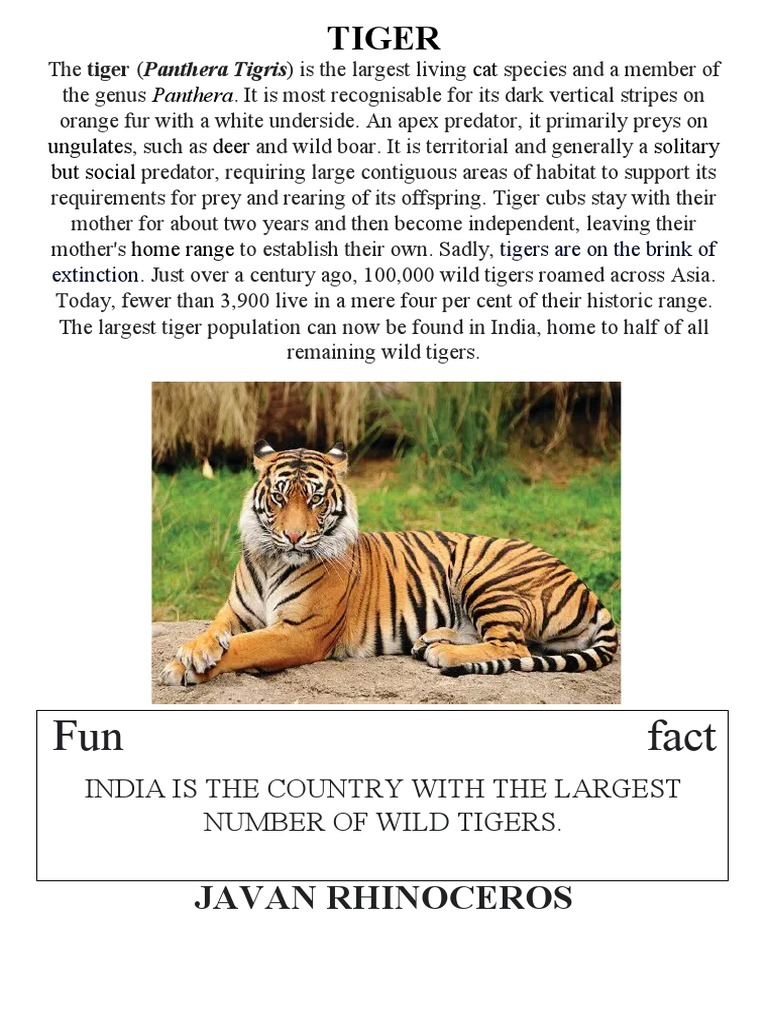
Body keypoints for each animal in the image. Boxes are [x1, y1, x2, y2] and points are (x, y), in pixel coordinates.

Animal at [160, 440, 618, 686]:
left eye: (315, 498)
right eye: (278, 497)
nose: (293, 536)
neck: (273, 560)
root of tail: (584, 585)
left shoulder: (299, 633)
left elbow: (244, 646)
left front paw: (184, 668)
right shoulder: (235, 611)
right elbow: (214, 631)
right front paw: (190, 653)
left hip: (487, 578)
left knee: (513, 644)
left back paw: (443, 654)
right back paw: (431, 640)